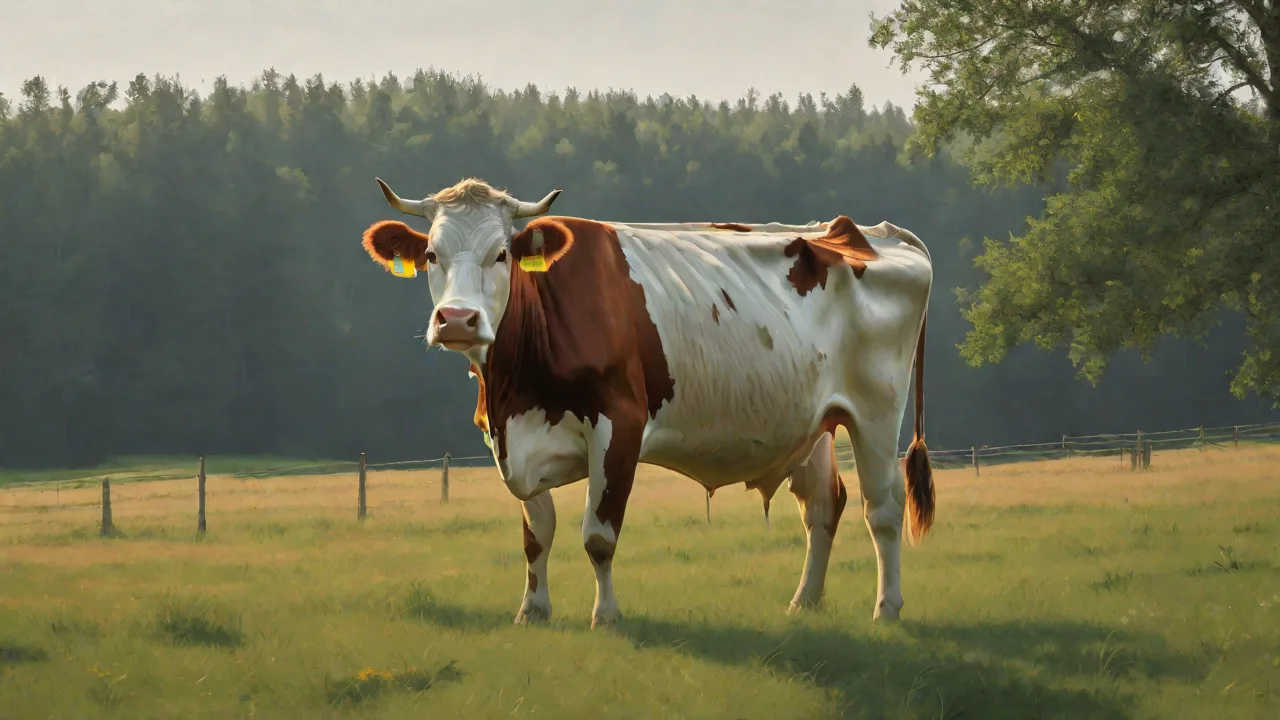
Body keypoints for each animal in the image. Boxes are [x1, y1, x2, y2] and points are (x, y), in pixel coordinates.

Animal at [360, 177, 934, 628]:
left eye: (501, 254)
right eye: (431, 255)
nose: (457, 320)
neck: (512, 390)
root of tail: (868, 231)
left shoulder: (620, 423)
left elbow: (598, 535)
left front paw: (606, 615)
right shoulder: (510, 439)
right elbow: (536, 535)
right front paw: (533, 611)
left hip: (877, 410)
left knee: (882, 509)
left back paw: (887, 608)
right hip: (815, 420)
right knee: (822, 506)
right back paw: (805, 601)